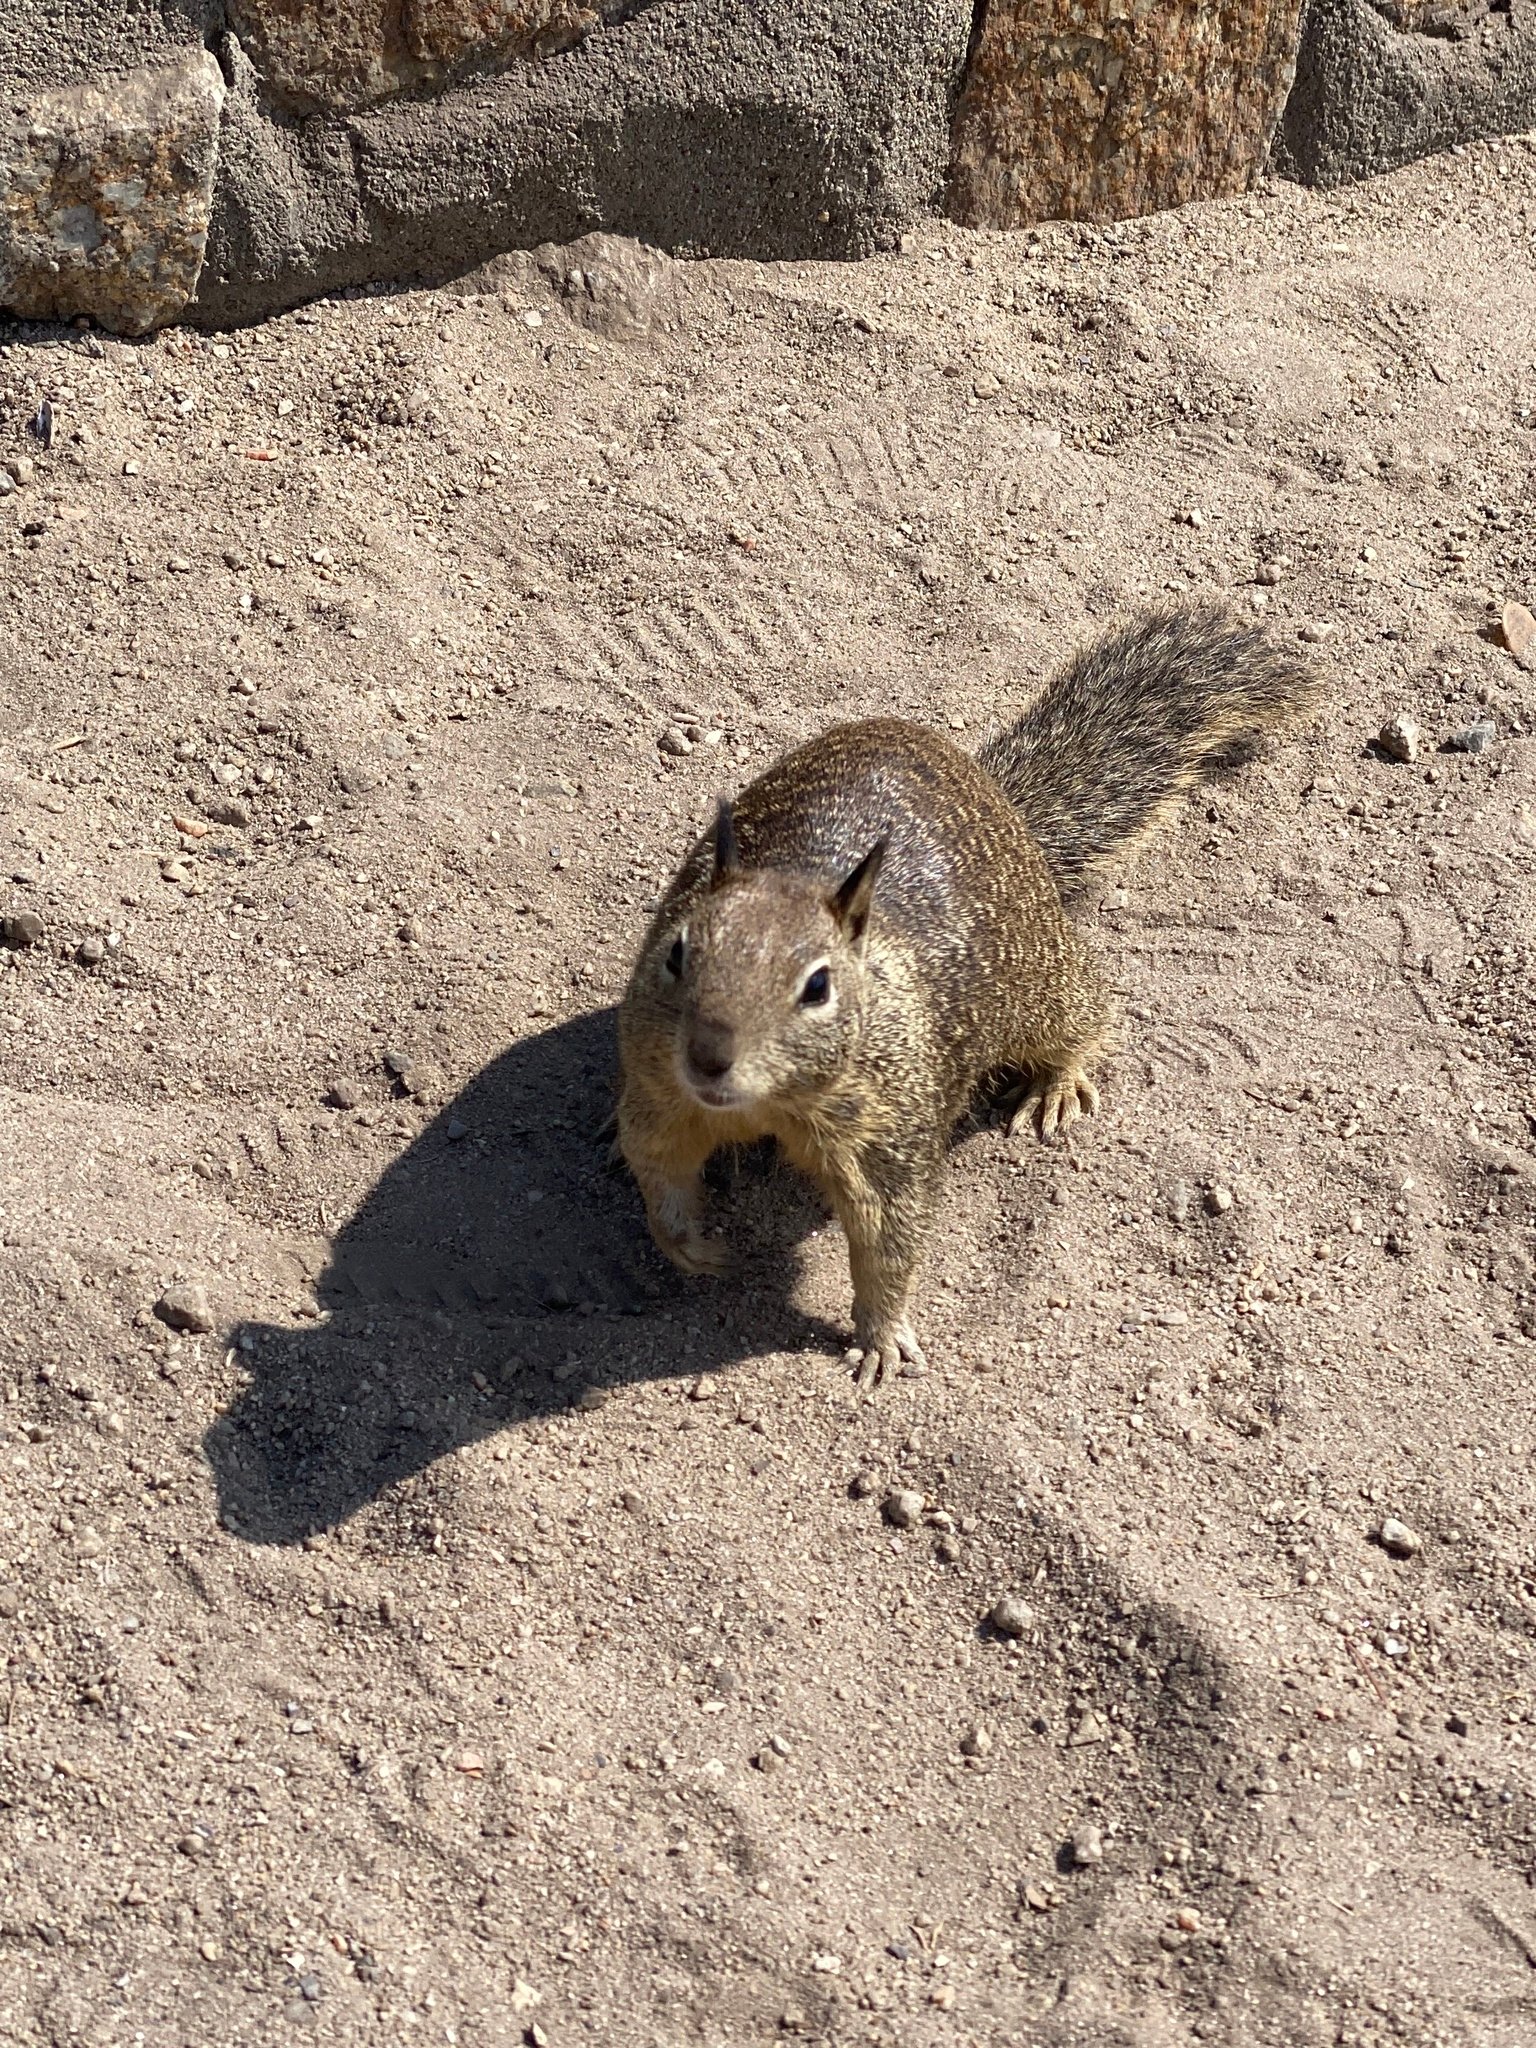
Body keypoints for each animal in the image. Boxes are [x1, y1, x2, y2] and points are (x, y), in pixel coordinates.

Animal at [616, 606, 1316, 1390]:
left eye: (819, 986)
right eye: (676, 952)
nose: (708, 1059)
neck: (770, 1105)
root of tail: (997, 795)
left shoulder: (889, 1136)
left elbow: (889, 1241)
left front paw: (882, 1337)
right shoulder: (660, 1096)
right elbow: (657, 1173)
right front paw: (694, 1248)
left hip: (1037, 976)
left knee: (1087, 1008)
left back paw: (1057, 1083)